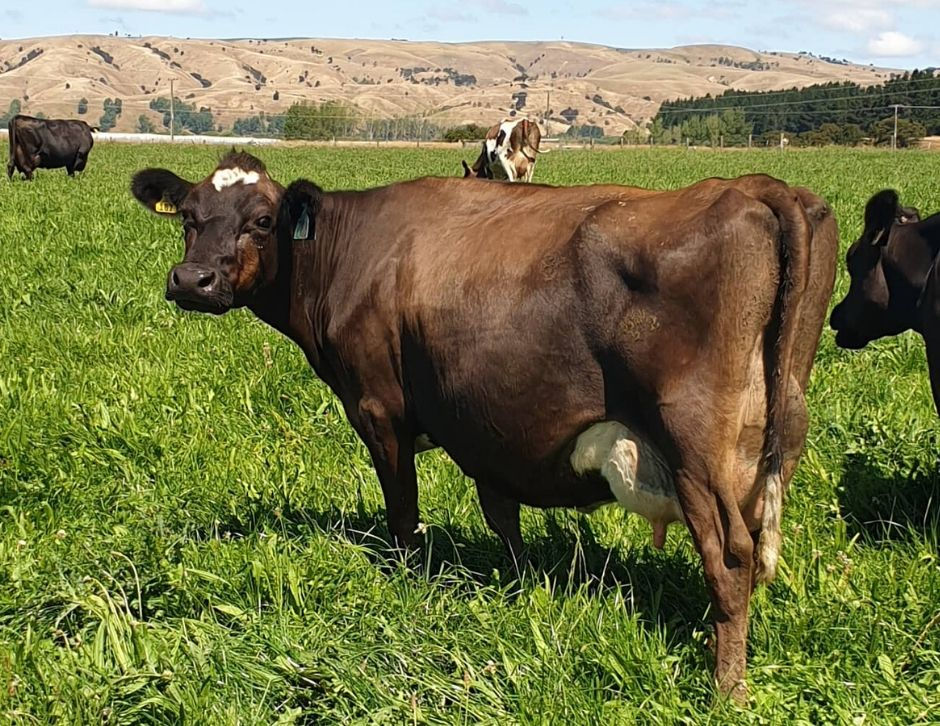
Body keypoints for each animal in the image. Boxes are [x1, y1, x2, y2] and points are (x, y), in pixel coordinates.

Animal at [130, 151, 837, 699]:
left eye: (262, 221)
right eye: (189, 217)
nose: (193, 280)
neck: (350, 252)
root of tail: (746, 186)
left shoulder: (379, 409)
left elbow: (403, 512)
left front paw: (412, 584)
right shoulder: (485, 425)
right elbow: (502, 515)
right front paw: (525, 590)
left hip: (693, 449)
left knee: (731, 557)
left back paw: (726, 687)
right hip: (768, 445)